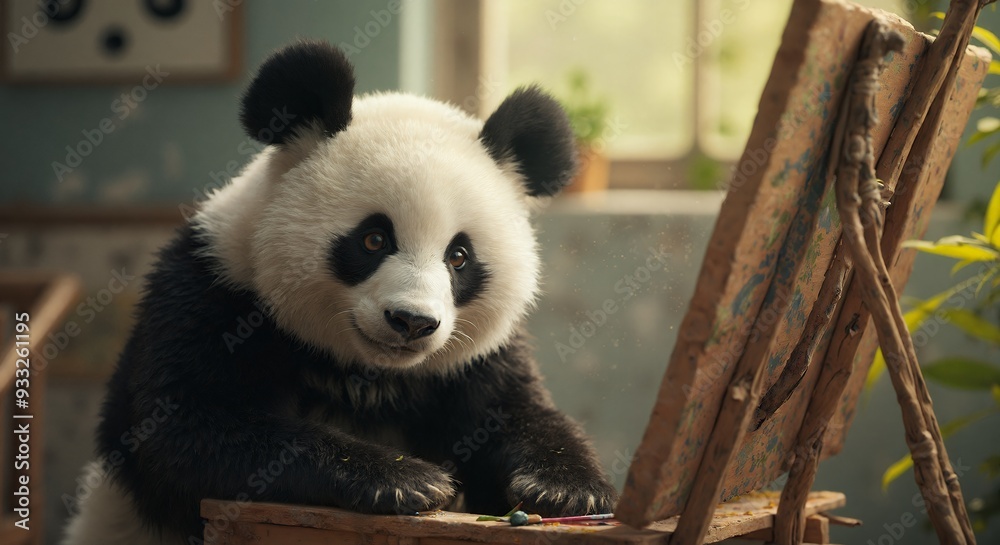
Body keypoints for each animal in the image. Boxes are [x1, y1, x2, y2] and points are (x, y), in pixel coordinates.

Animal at [62, 41, 618, 544]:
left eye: (459, 256)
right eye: (373, 239)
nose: (412, 322)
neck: (365, 373)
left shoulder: (476, 359)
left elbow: (517, 412)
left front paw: (568, 488)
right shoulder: (214, 290)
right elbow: (182, 429)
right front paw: (405, 479)